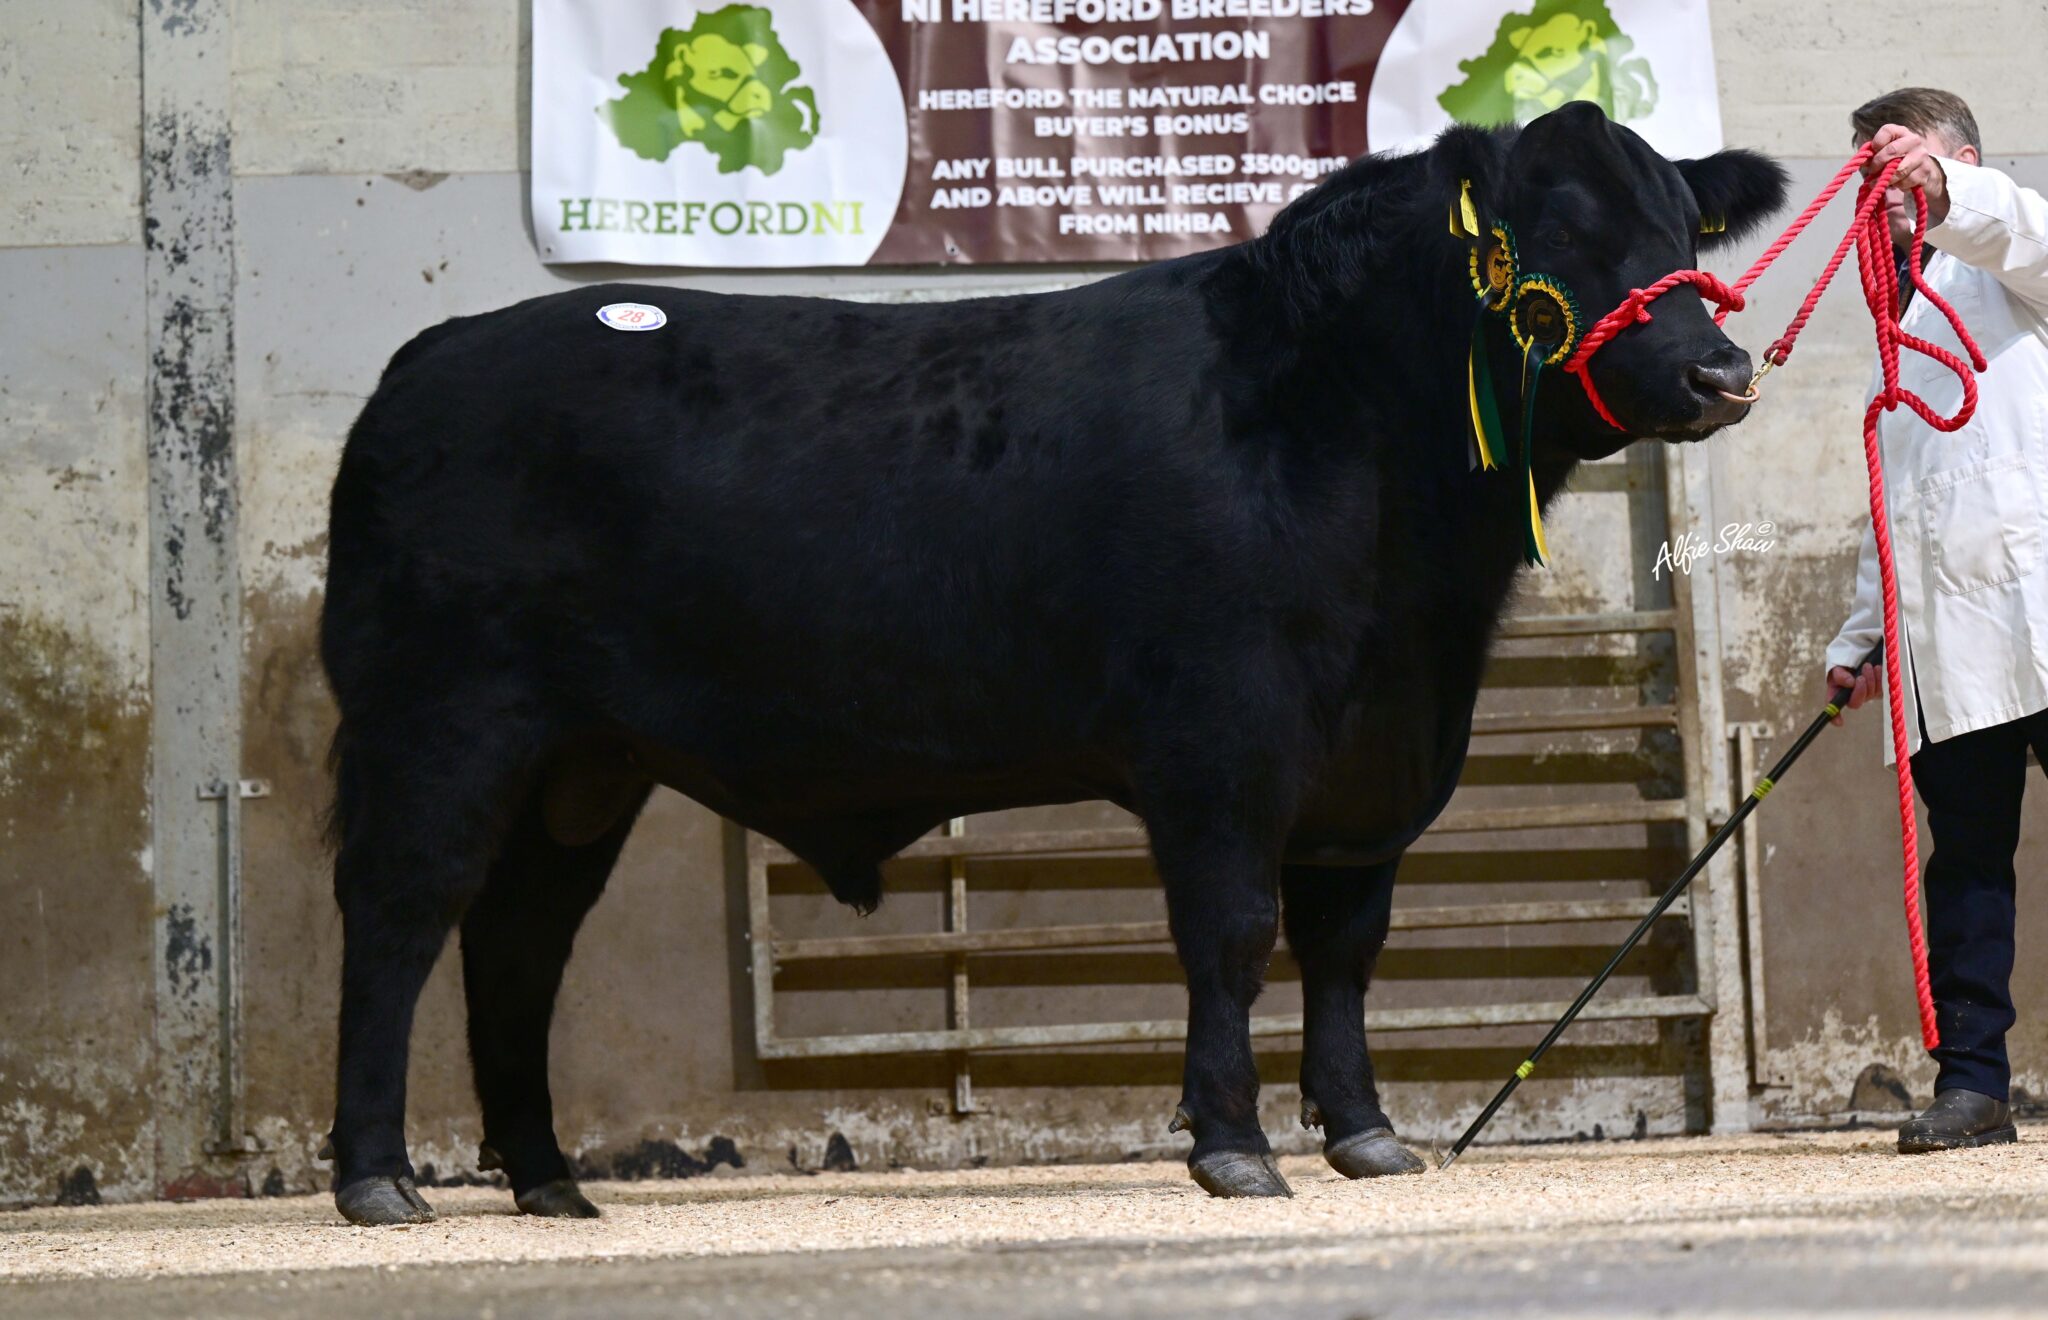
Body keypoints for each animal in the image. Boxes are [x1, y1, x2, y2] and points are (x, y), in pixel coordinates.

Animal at [316, 101, 1787, 1224]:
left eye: (1681, 231)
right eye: (1564, 234)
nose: (1720, 373)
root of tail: (423, 363)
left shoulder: (1370, 772)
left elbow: (1346, 949)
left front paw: (1365, 1133)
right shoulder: (1221, 752)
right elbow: (1232, 938)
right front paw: (1232, 1148)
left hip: (580, 766)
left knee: (517, 943)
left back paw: (549, 1184)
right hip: (440, 723)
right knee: (398, 922)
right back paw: (380, 1181)